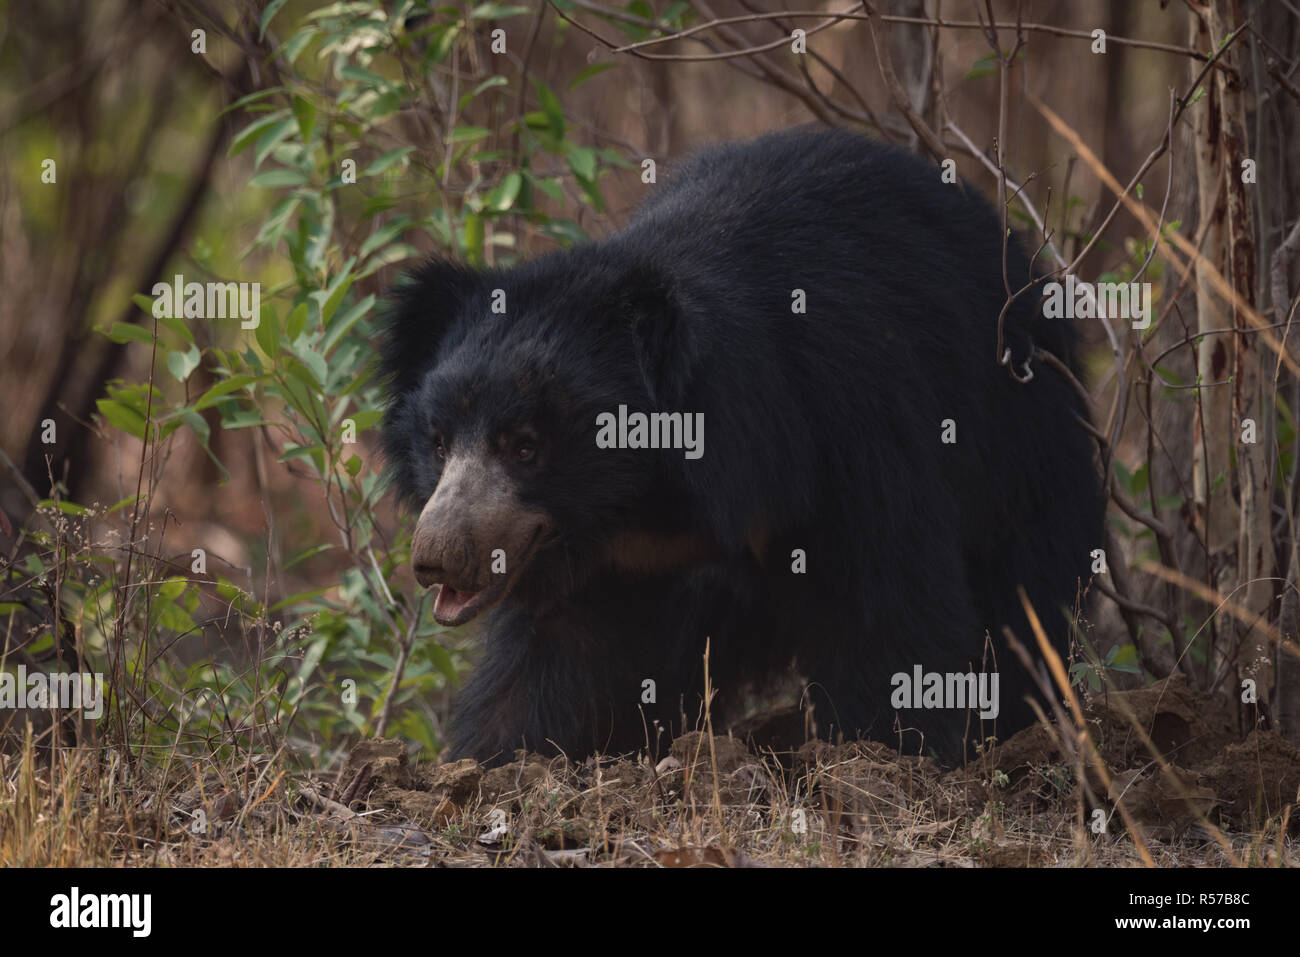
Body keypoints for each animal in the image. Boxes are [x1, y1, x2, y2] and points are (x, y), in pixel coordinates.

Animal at [380, 127, 1102, 766]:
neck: (646, 502)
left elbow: (884, 608)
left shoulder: (850, 430)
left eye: (526, 446)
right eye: (438, 443)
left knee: (1027, 591)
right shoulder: (618, 564)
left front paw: (880, 756)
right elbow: (562, 658)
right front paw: (499, 757)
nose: (437, 556)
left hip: (1025, 435)